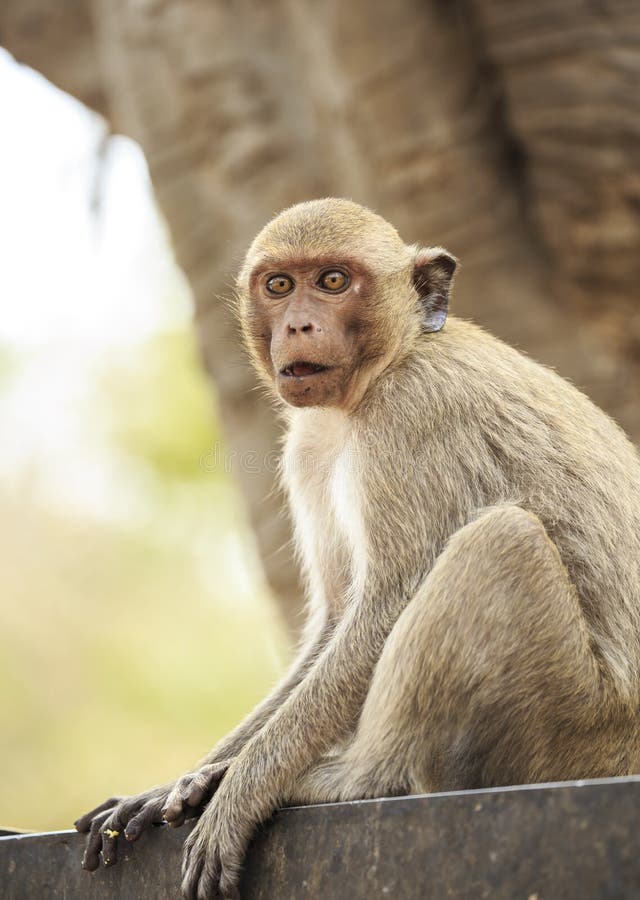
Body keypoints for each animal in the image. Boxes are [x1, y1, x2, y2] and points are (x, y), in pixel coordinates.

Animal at [76, 198, 640, 900]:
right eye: (280, 285)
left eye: (334, 282)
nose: (299, 324)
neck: (392, 361)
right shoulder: (308, 446)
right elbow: (338, 619)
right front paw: (192, 779)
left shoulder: (410, 415)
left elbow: (381, 610)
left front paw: (238, 794)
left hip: (573, 728)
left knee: (499, 540)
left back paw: (365, 778)